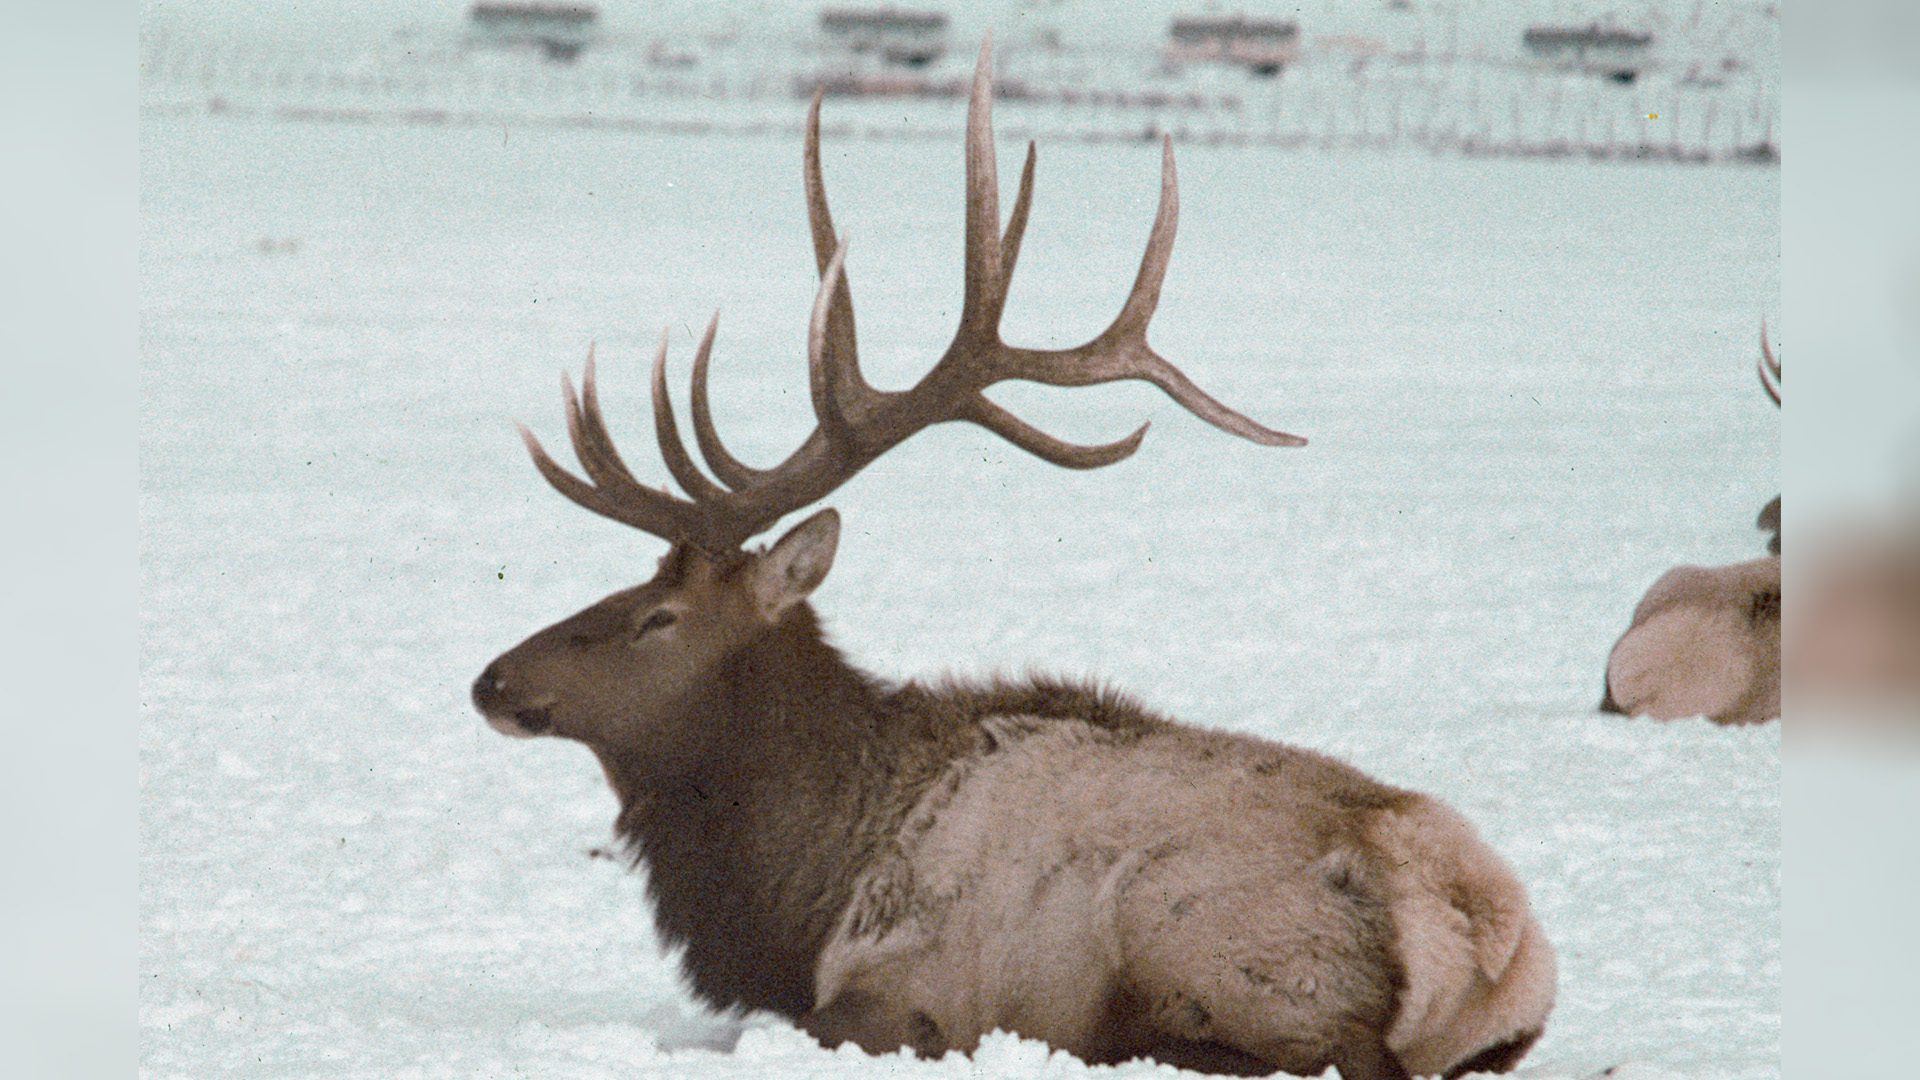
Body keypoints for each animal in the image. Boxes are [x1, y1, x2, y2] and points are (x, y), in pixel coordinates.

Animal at [472, 42, 1556, 1080]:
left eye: (657, 619)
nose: (490, 680)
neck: (803, 886)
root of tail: (1485, 936)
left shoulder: (908, 990)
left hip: (1208, 933)